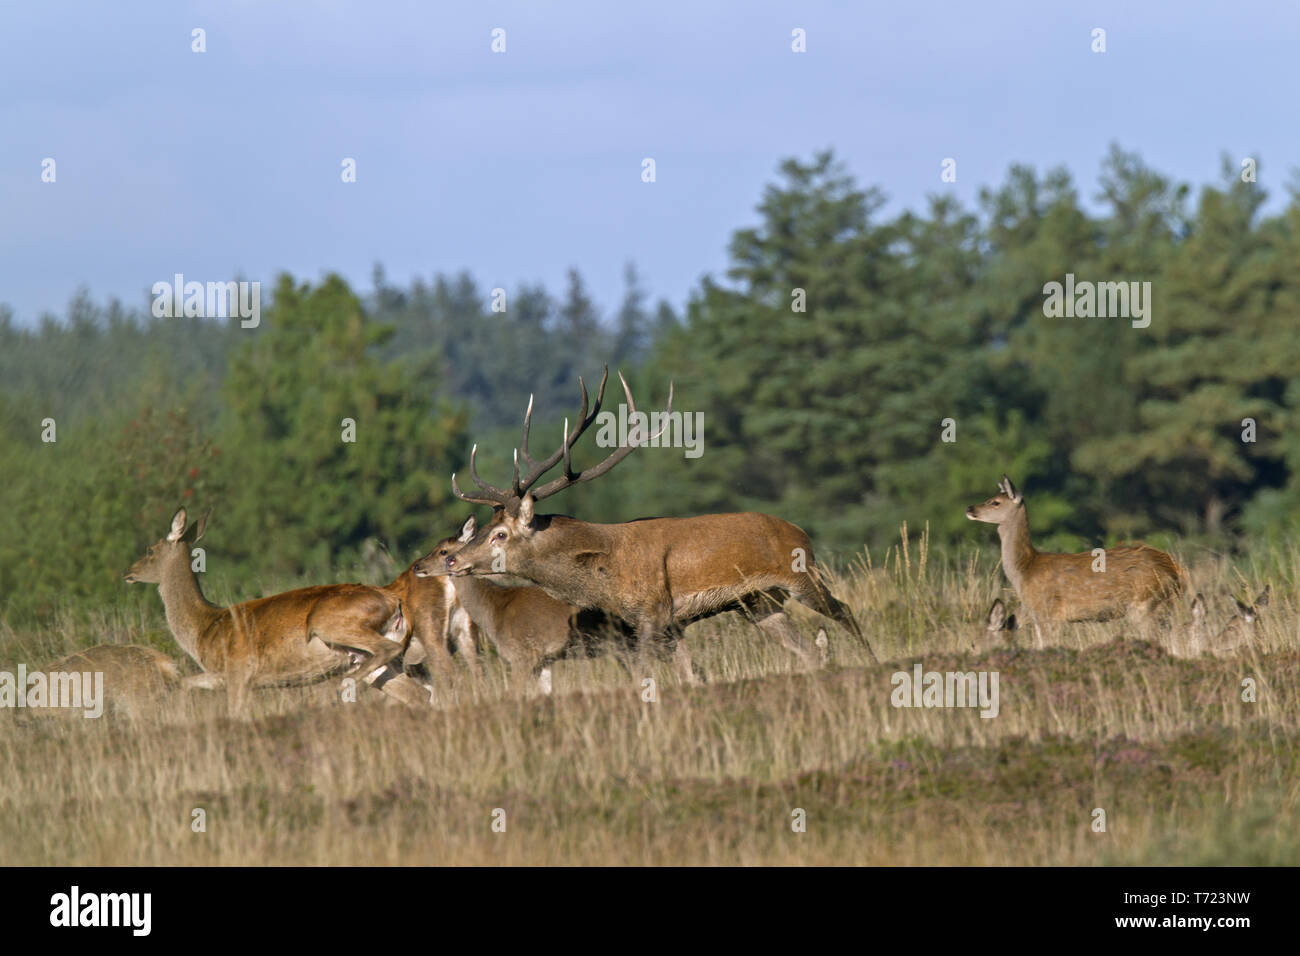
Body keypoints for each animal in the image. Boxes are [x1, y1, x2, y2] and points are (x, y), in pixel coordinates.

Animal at [124, 507, 433, 712]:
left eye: (150, 550)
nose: (129, 572)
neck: (205, 626)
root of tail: (393, 599)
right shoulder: (221, 676)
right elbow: (185, 682)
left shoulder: (240, 670)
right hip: (374, 661)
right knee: (419, 694)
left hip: (331, 623)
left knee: (389, 656)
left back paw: (341, 687)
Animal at [431, 367, 875, 683]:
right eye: (486, 529)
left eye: (501, 534)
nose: (454, 560)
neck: (605, 577)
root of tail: (801, 531)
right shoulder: (668, 625)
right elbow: (689, 674)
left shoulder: (652, 613)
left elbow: (648, 673)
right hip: (759, 603)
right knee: (807, 648)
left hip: (802, 577)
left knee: (845, 612)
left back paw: (870, 660)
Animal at [965, 475, 1185, 646]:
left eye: (995, 502)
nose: (970, 508)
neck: (1025, 570)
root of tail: (1174, 571)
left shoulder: (1047, 612)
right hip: (1164, 607)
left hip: (1146, 604)